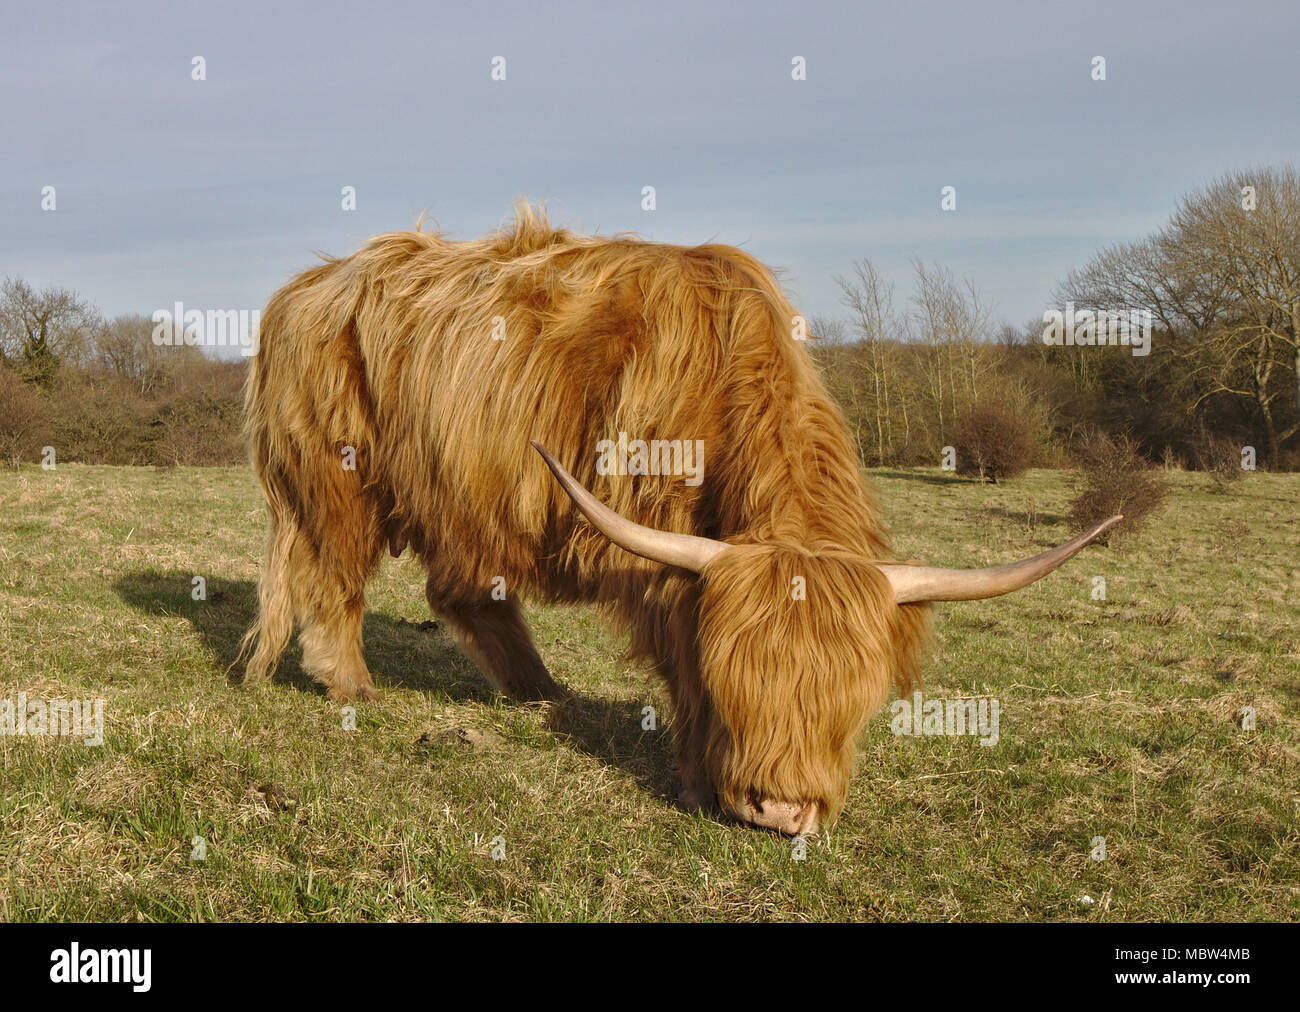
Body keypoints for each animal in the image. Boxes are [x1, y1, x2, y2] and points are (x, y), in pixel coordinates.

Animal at [240, 204, 1119, 834]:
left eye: (853, 702)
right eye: (738, 686)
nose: (781, 810)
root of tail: (313, 282)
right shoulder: (658, 541)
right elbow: (681, 656)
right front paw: (697, 779)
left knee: (457, 590)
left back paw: (539, 691)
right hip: (339, 474)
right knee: (334, 574)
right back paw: (353, 684)